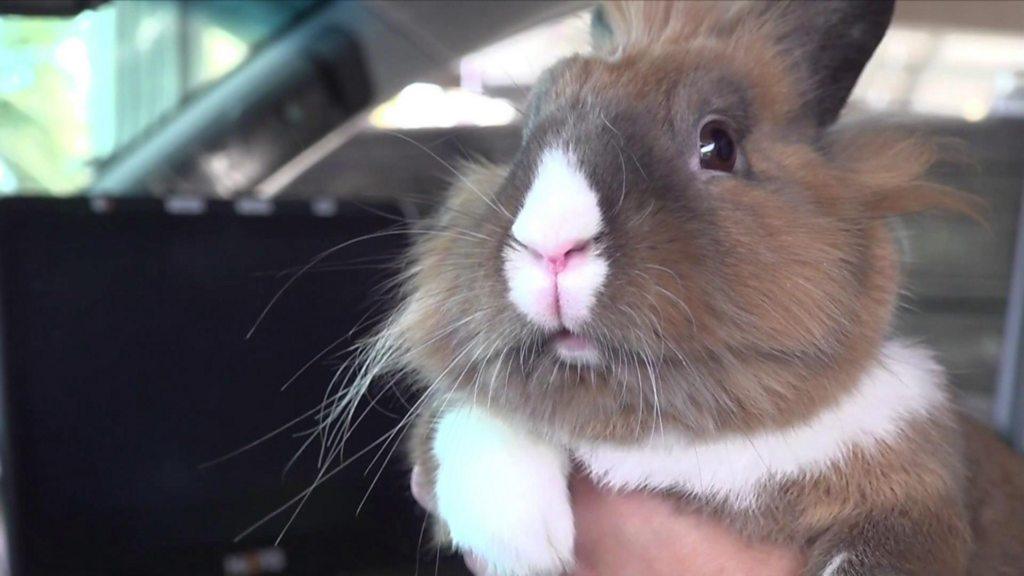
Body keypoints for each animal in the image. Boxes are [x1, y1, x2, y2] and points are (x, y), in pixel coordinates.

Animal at [336, 1, 1024, 575]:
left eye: (718, 144)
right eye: (522, 140)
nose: (551, 246)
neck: (671, 440)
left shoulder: (912, 506)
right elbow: (465, 412)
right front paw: (522, 538)